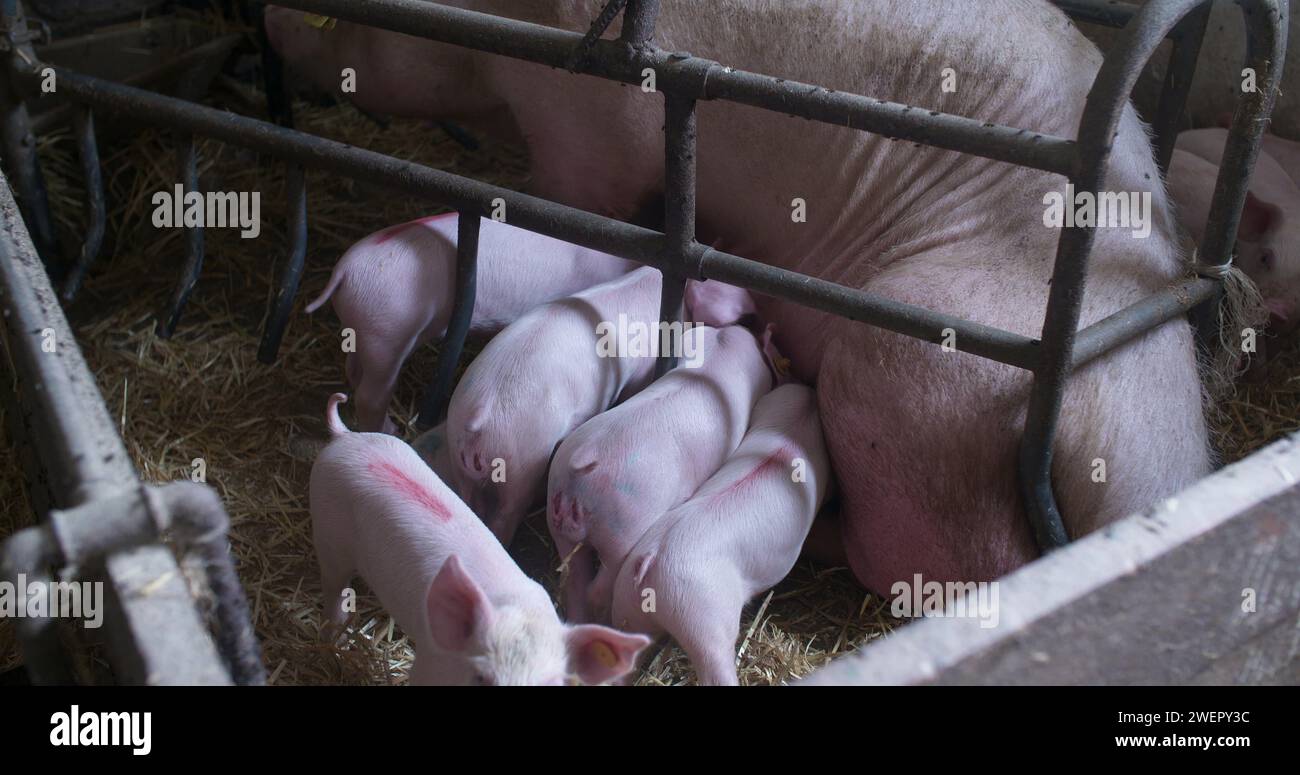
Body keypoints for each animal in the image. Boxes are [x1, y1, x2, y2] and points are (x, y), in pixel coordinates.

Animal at [305, 213, 634, 433]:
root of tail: (344, 271)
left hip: (365, 331)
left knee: (354, 371)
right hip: (386, 332)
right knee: (370, 395)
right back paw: (391, 431)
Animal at [309, 393, 649, 685]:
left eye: (549, 684)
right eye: (482, 678)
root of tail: (344, 436)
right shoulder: (432, 661)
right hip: (328, 531)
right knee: (334, 586)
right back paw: (336, 640)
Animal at [548, 324, 778, 623]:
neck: (719, 352)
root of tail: (584, 458)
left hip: (557, 516)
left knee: (573, 578)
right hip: (622, 531)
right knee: (598, 586)